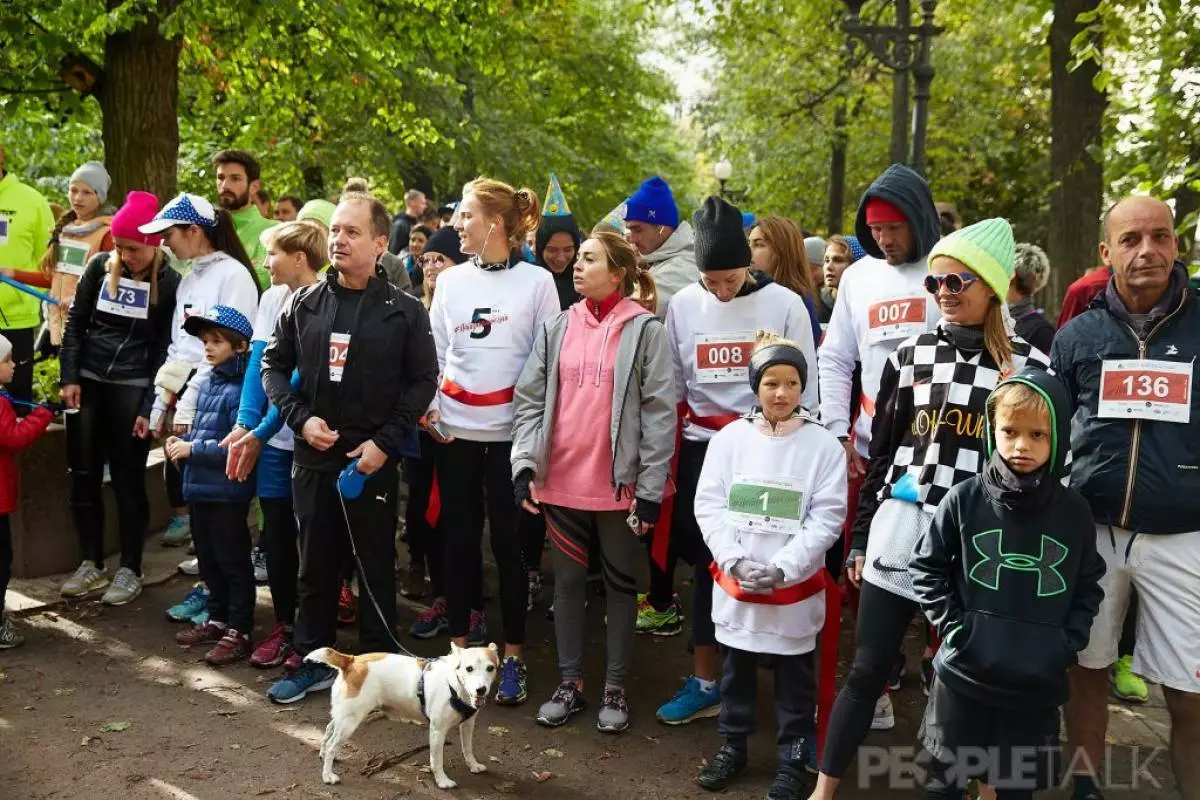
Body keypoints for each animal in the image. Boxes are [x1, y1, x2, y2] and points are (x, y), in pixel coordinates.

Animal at [309, 642, 501, 786]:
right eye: (469, 669)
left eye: (490, 668)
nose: (481, 690)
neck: (454, 683)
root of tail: (351, 660)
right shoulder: (437, 731)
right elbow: (437, 760)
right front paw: (442, 781)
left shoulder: (468, 725)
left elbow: (468, 748)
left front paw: (473, 765)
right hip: (350, 720)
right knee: (333, 744)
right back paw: (328, 775)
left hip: (344, 716)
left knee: (328, 731)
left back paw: (324, 755)